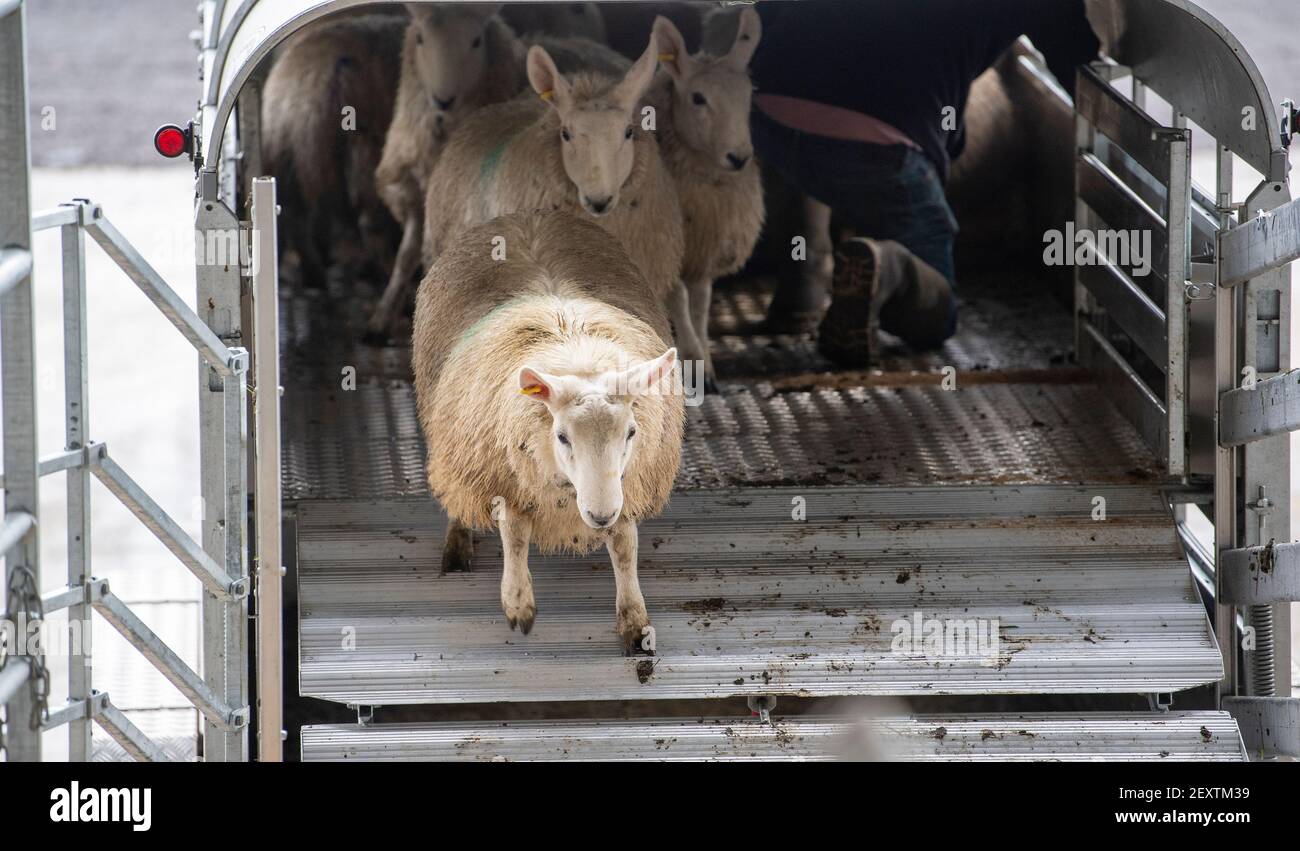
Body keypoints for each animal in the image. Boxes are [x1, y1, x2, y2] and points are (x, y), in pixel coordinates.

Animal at [413, 211, 684, 651]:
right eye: (562, 437)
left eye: (631, 433)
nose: (599, 514)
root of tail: (526, 216)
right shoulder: (505, 474)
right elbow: (514, 532)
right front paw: (518, 601)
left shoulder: (629, 484)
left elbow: (624, 546)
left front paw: (634, 620)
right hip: (454, 438)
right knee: (455, 489)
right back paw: (457, 542)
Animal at [647, 10, 764, 384]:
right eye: (698, 98)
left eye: (748, 96)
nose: (739, 157)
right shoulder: (668, 246)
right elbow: (679, 300)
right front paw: (691, 356)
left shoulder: (704, 247)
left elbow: (700, 303)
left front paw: (706, 363)